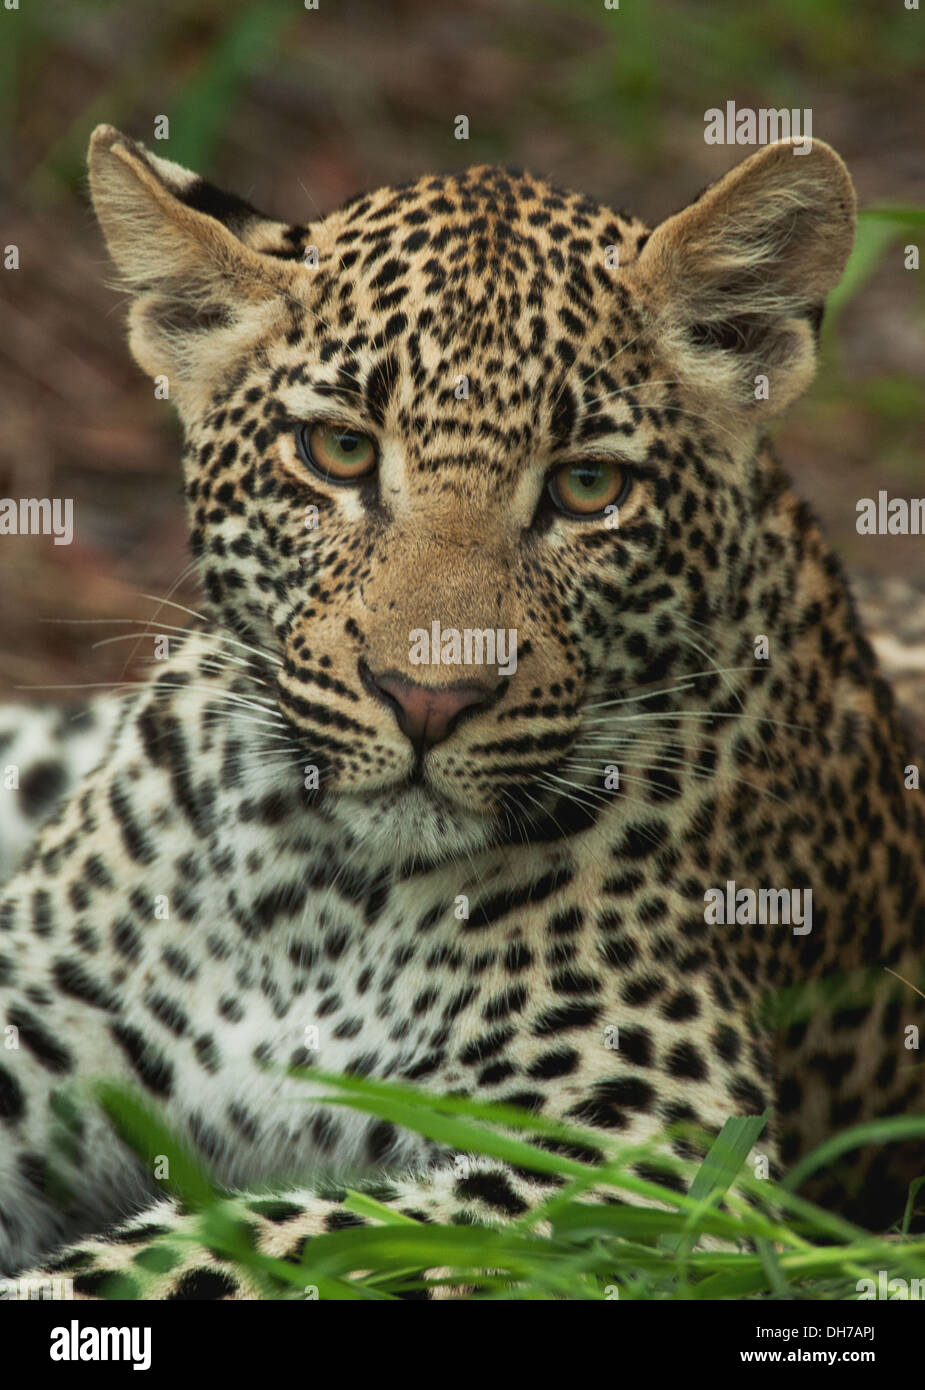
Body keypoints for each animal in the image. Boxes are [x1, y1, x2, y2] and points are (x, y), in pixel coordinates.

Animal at [1, 123, 923, 1300]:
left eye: (587, 488)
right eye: (340, 452)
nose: (427, 699)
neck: (320, 900)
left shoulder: (647, 1168)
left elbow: (232, 1244)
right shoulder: (42, 1023)